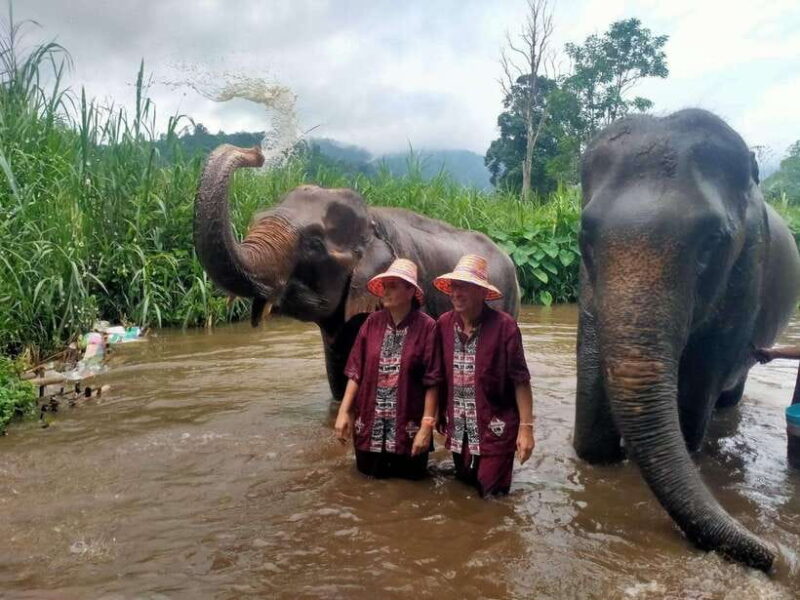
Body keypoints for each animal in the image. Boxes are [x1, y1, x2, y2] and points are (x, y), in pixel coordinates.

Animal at [572, 108, 800, 571]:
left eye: (713, 241)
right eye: (585, 236)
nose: (774, 556)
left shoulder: (747, 272)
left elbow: (700, 378)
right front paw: (600, 454)